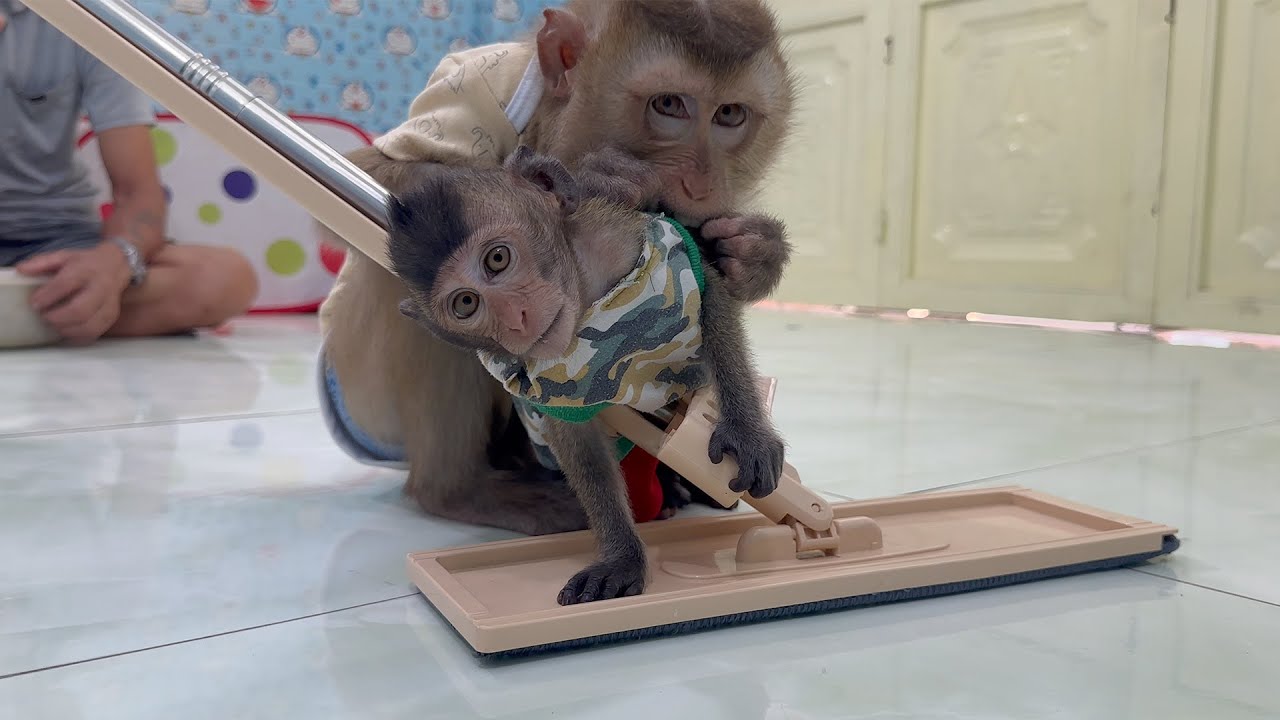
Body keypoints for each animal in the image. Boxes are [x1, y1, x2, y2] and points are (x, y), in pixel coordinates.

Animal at [316, 0, 799, 536]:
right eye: (669, 104)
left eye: (730, 114)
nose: (701, 184)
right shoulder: (476, 83)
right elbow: (368, 172)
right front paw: (598, 175)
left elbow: (712, 277)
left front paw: (758, 254)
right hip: (365, 401)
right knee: (393, 277)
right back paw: (460, 491)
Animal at [388, 146, 785, 603]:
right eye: (466, 304)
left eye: (497, 259)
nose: (517, 320)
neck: (583, 297)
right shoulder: (546, 369)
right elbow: (576, 434)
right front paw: (622, 556)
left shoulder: (616, 236)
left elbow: (707, 289)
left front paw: (744, 431)